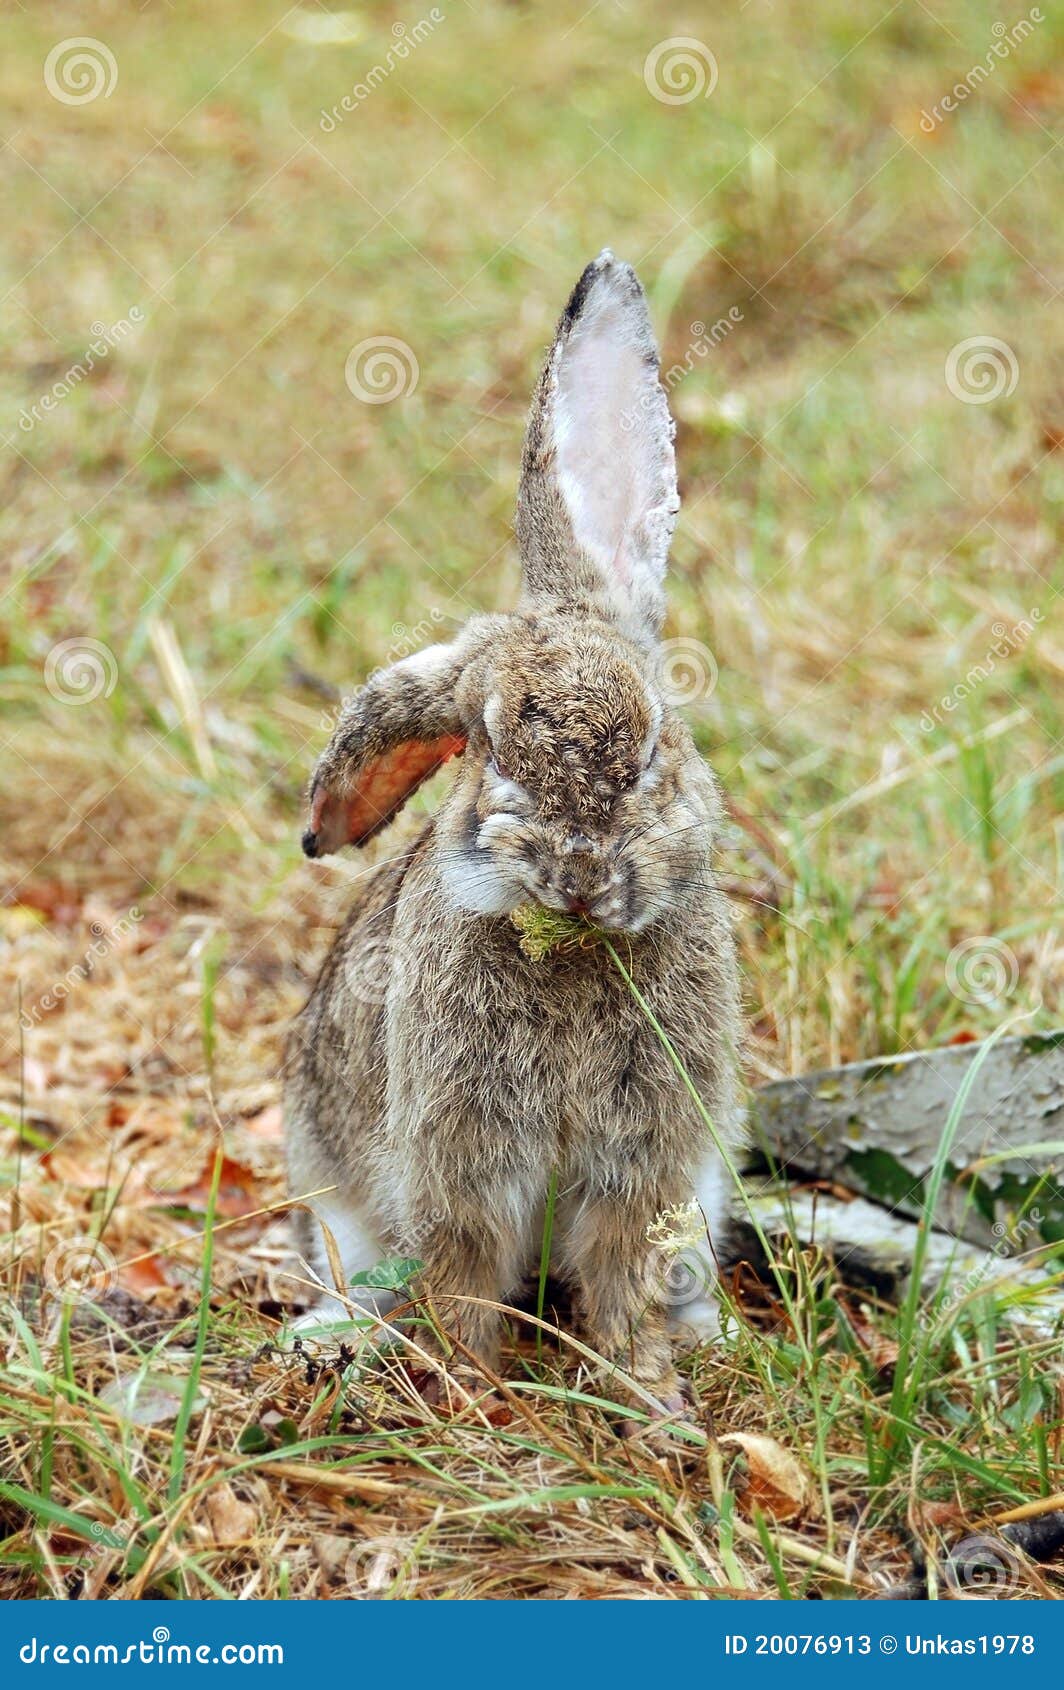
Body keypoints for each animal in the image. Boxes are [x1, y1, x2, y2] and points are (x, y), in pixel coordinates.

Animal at [284, 250, 744, 1412]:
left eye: (651, 740)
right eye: (488, 749)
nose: (581, 877)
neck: (572, 954)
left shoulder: (648, 1165)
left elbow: (623, 1270)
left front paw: (649, 1398)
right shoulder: (461, 1158)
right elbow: (465, 1271)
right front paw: (470, 1396)